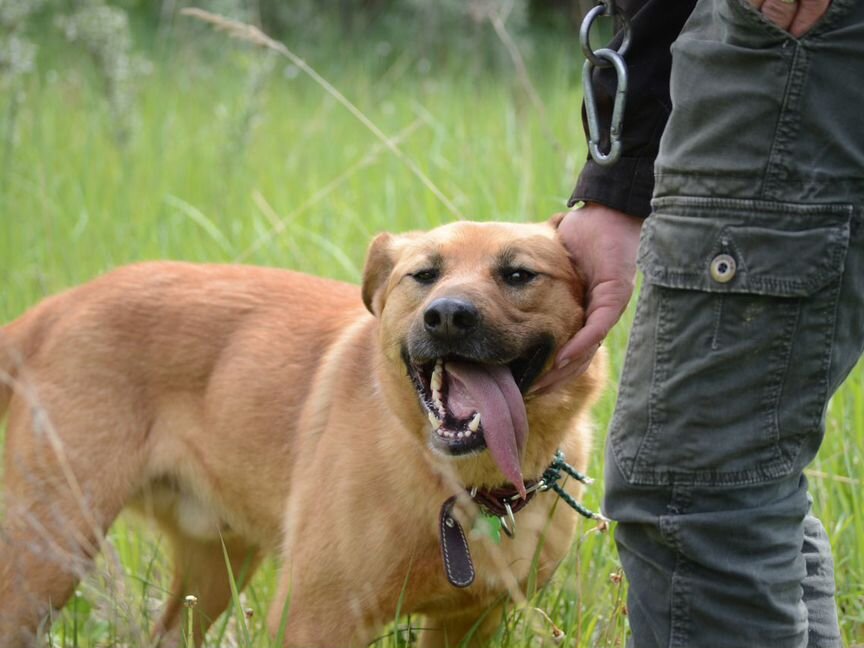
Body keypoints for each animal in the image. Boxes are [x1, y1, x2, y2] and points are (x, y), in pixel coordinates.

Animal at [0, 220, 604, 644]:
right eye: (424, 275)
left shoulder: (471, 622)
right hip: (44, 557)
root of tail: (58, 307)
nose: (448, 316)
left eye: (518, 274)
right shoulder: (316, 621)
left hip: (213, 565)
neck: (462, 487)